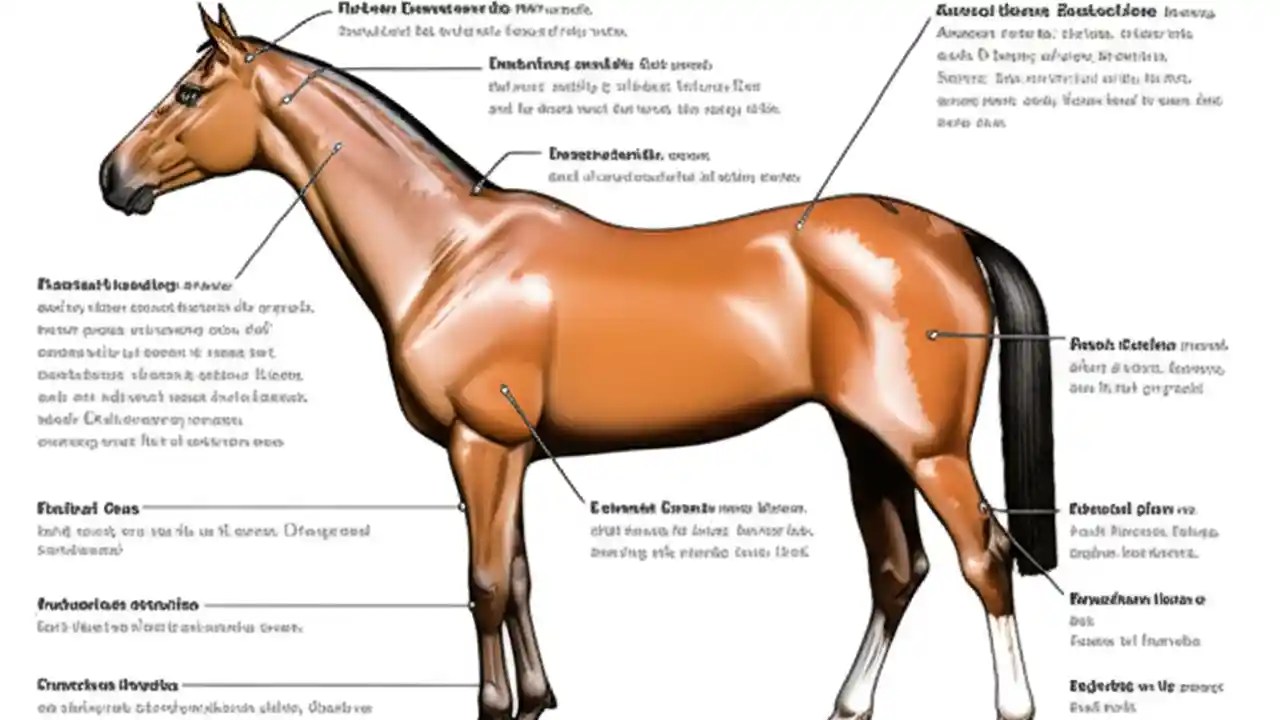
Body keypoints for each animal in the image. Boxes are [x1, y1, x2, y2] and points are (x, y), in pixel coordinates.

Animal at [98, 7, 1056, 720]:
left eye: (189, 91)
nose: (113, 178)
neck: (451, 253)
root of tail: (949, 234)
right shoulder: (507, 452)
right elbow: (520, 577)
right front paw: (537, 697)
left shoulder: (481, 445)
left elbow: (486, 583)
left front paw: (494, 705)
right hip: (868, 441)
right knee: (900, 570)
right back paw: (846, 704)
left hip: (928, 448)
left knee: (983, 559)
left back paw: (1013, 705)